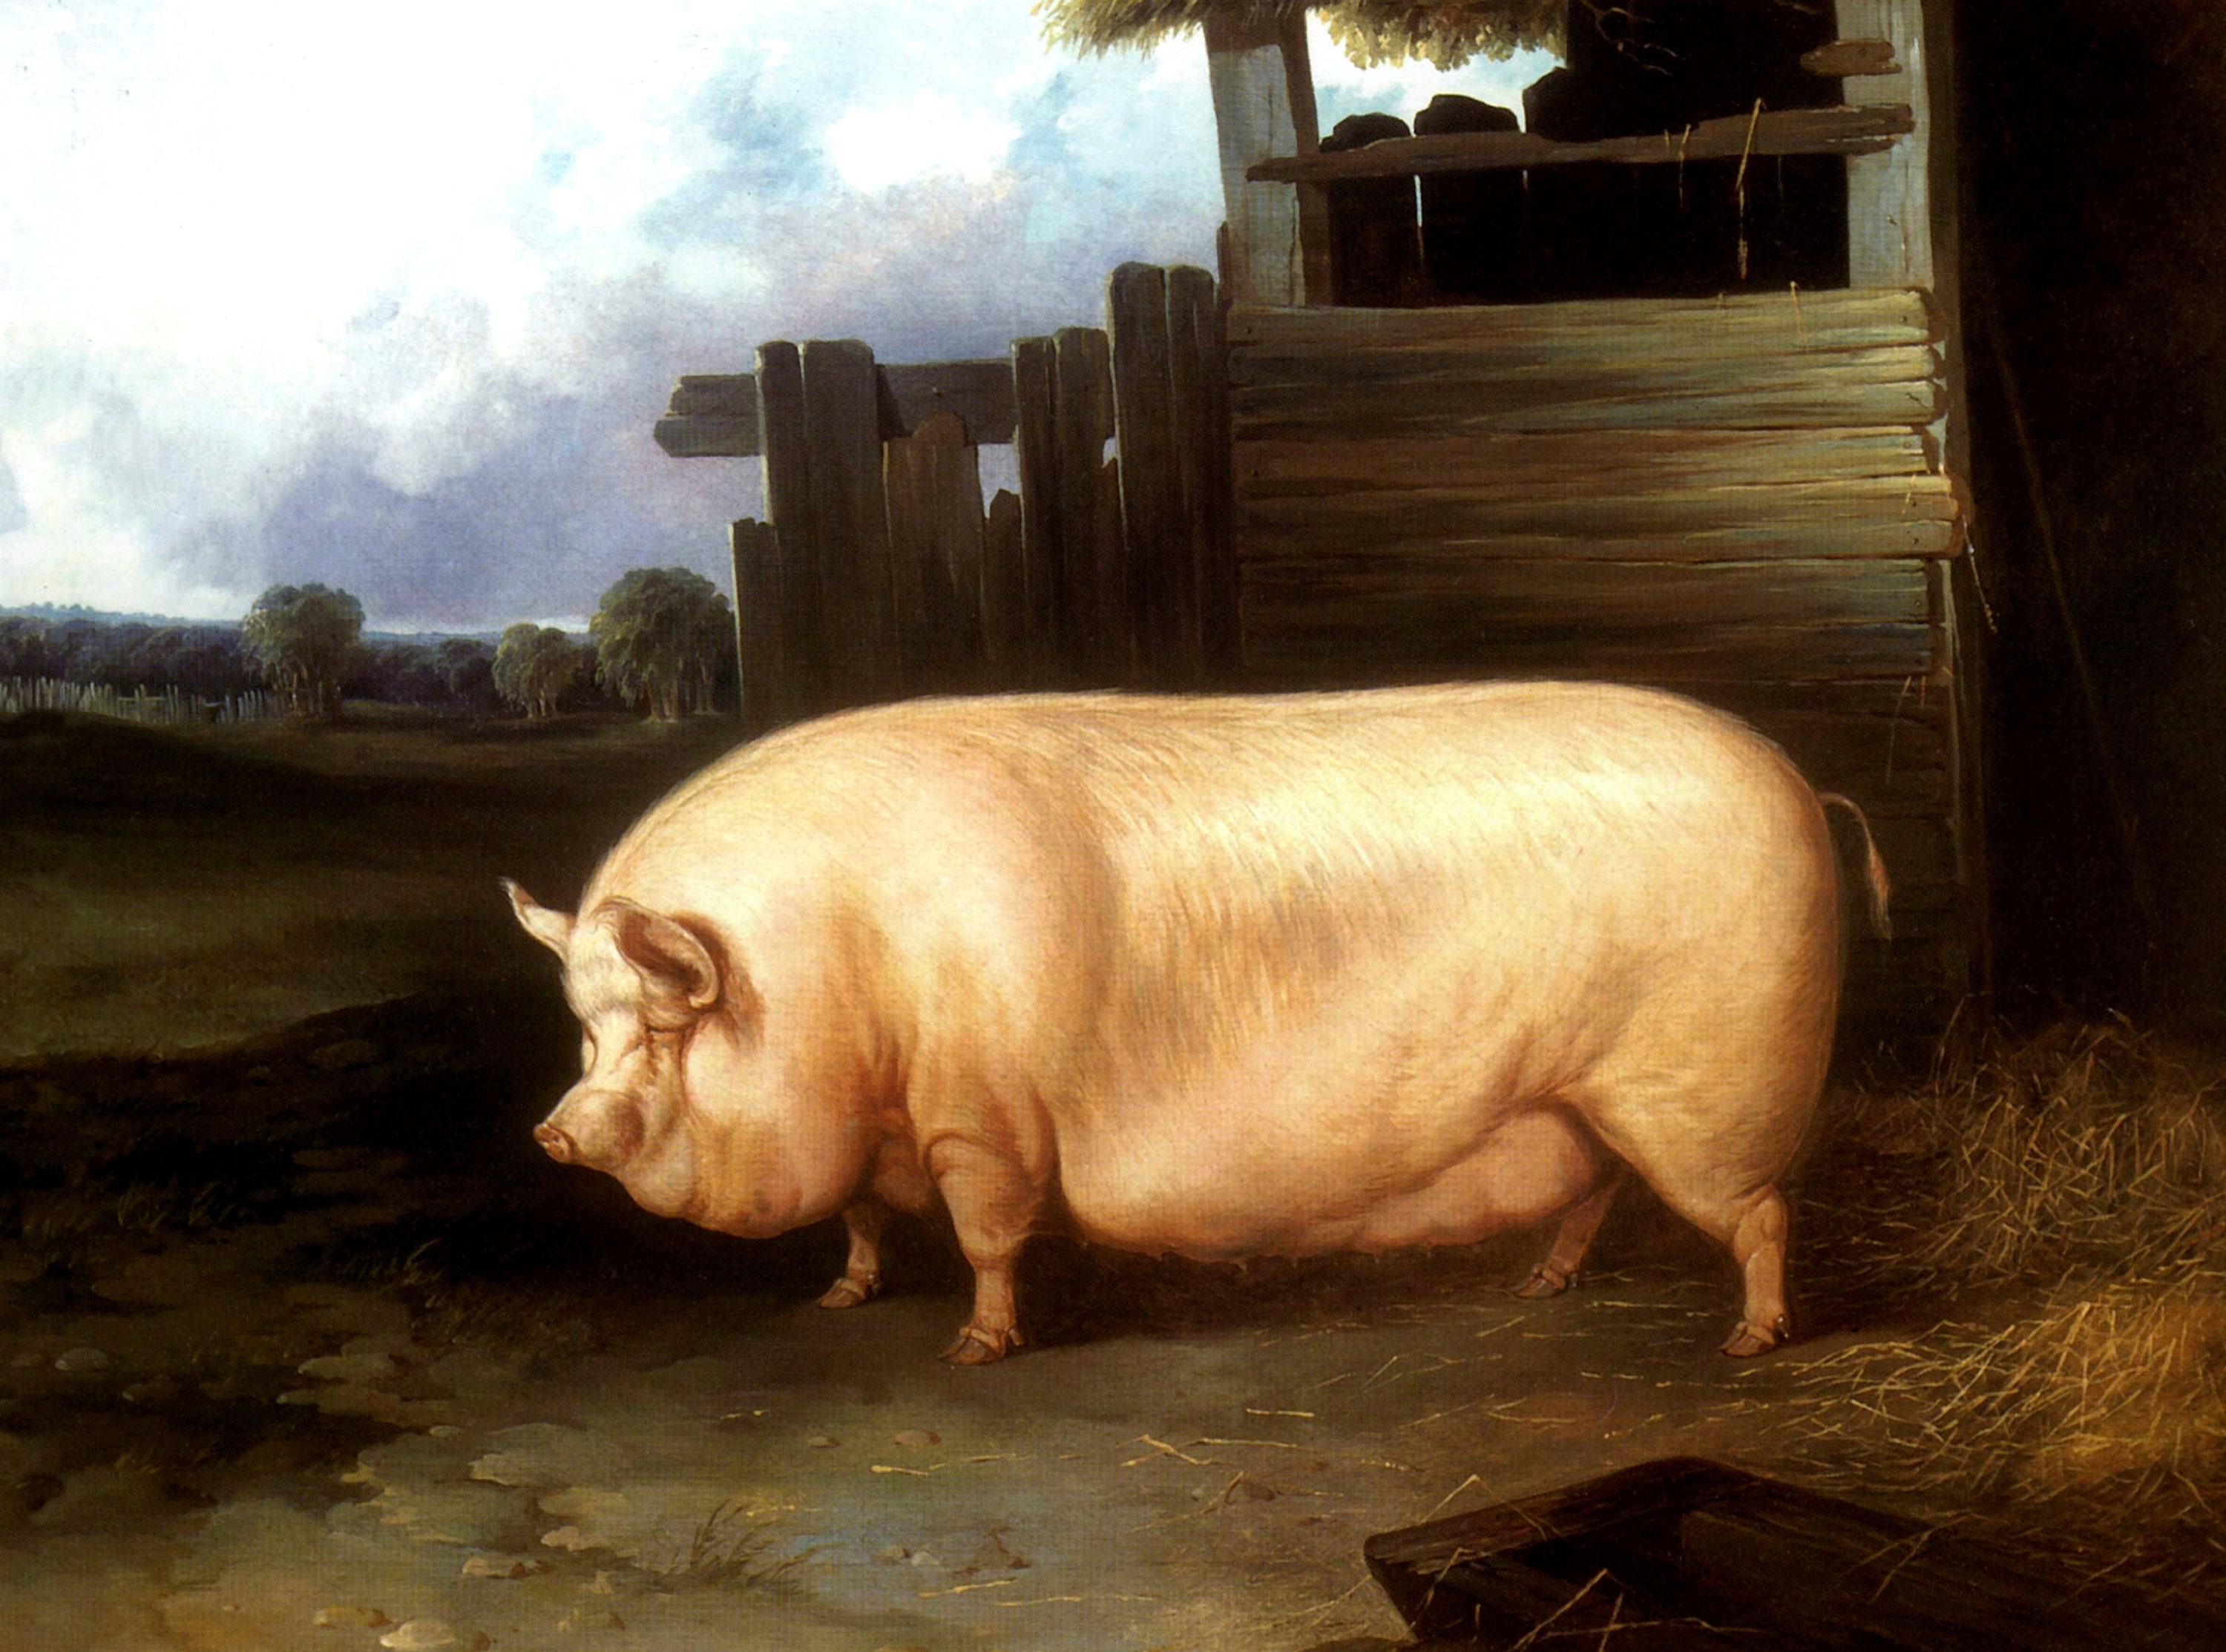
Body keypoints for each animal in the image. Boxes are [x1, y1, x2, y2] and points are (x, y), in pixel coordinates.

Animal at [504, 681, 1888, 1363]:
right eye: (586, 1032)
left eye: (664, 1032)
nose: (555, 1131)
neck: (842, 980)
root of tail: (1805, 784)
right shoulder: (879, 1132)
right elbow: (858, 1217)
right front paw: (843, 1299)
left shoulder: (981, 1120)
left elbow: (987, 1233)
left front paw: (972, 1349)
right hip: (1579, 1093)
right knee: (1598, 1187)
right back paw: (1543, 1284)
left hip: (1705, 1093)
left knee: (1760, 1212)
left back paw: (1750, 1342)